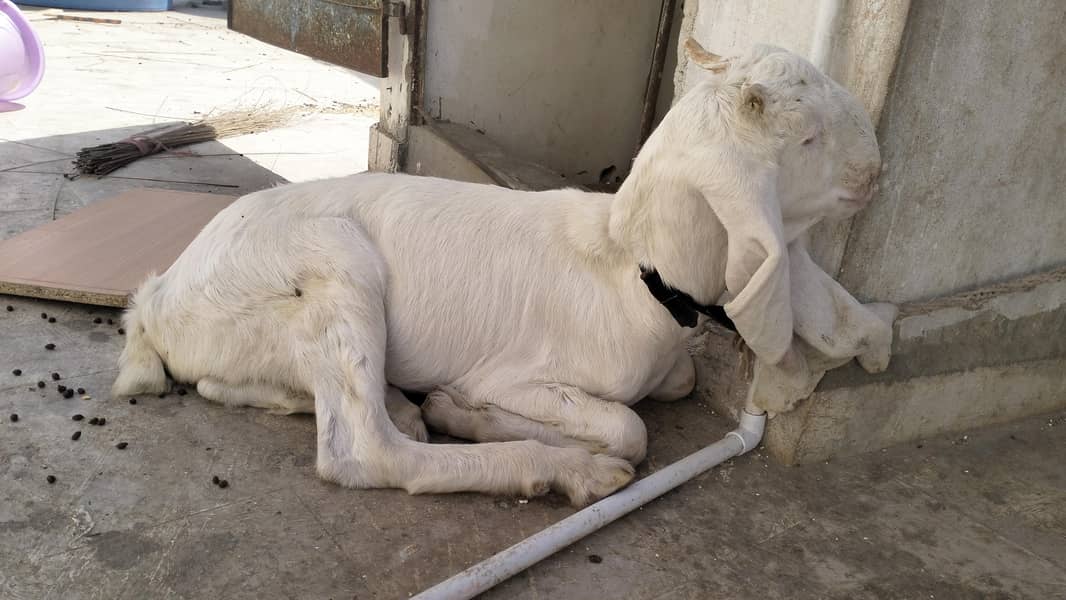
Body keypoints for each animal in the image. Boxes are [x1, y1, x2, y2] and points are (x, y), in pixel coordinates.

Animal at [113, 41, 894, 506]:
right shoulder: (520, 373)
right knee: (366, 451)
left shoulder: (667, 364)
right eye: (807, 139)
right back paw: (557, 469)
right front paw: (479, 416)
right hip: (333, 264)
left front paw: (456, 410)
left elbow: (679, 382)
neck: (631, 270)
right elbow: (629, 428)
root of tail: (154, 299)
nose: (876, 175)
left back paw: (395, 403)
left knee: (230, 385)